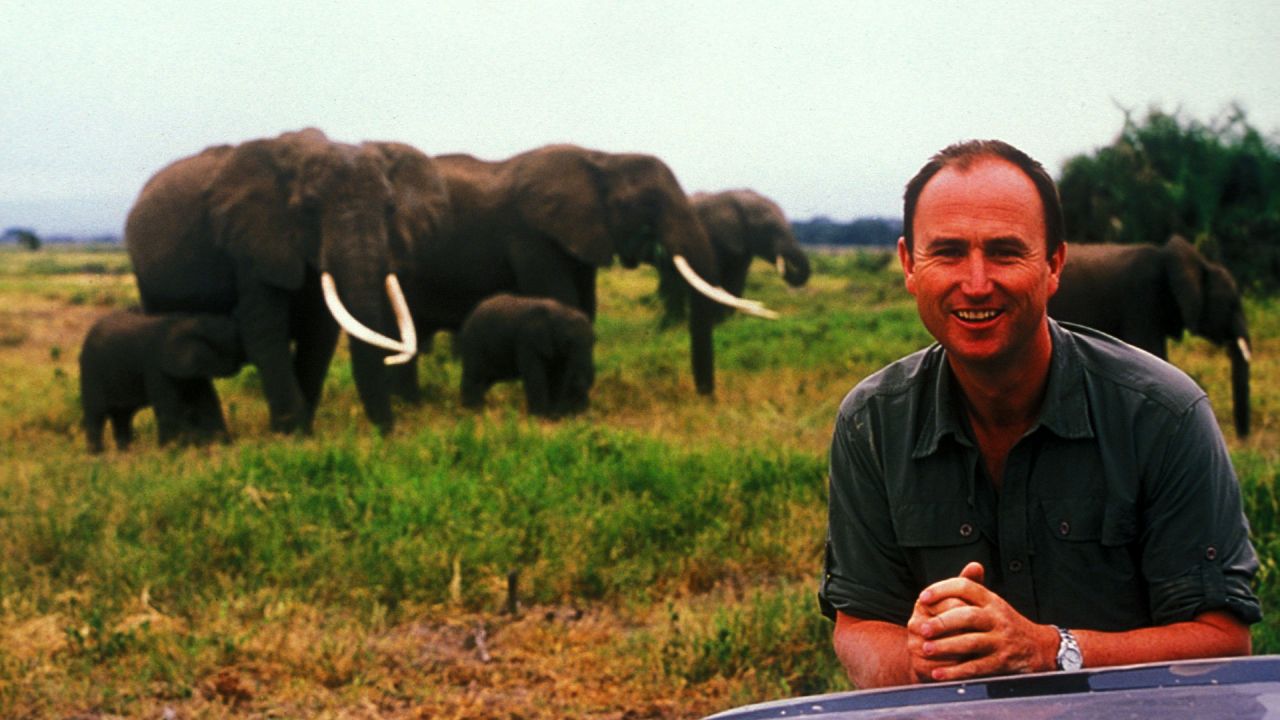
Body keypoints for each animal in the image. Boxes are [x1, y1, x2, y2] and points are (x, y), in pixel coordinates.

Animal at [79, 309, 244, 452]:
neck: (190, 322)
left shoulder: (193, 369)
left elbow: (207, 403)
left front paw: (224, 446)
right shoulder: (156, 367)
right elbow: (168, 409)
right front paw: (171, 451)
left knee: (123, 415)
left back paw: (125, 453)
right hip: (90, 369)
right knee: (97, 413)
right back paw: (97, 455)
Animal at [125, 128, 450, 434]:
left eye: (391, 207)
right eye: (309, 208)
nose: (387, 434)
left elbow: (319, 336)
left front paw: (304, 432)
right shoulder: (251, 247)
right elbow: (266, 332)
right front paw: (291, 435)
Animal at [392, 144, 775, 399]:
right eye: (649, 205)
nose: (704, 397)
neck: (603, 160)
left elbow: (586, 306)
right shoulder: (533, 238)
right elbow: (562, 300)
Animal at [457, 293, 595, 417]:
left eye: (593, 341)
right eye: (567, 343)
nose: (582, 412)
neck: (561, 312)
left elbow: (557, 377)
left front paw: (554, 415)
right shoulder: (528, 341)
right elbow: (536, 377)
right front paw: (539, 417)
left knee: (485, 380)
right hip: (474, 344)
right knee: (474, 376)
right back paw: (471, 411)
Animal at [656, 188, 811, 325]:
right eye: (768, 228)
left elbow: (737, 279)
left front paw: (728, 322)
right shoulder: (713, 236)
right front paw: (717, 322)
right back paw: (674, 322)